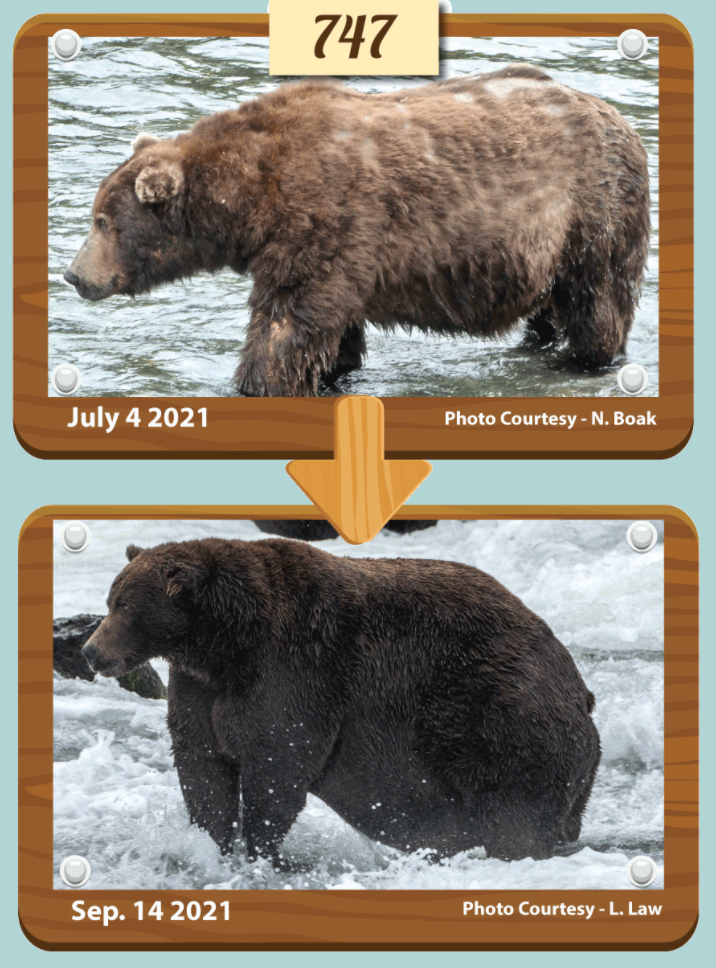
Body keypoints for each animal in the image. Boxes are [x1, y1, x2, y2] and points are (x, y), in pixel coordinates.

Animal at [63, 64, 650, 397]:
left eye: (101, 221)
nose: (73, 275)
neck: (250, 196)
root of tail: (620, 118)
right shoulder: (336, 249)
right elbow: (334, 331)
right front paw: (333, 374)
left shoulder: (323, 219)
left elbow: (285, 326)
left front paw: (258, 383)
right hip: (547, 246)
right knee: (550, 303)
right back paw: (534, 345)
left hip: (593, 211)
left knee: (598, 300)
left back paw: (582, 362)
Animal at [81, 537, 601, 868]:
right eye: (110, 600)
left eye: (124, 605)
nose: (90, 650)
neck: (224, 643)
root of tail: (581, 690)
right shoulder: (199, 688)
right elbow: (202, 765)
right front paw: (210, 844)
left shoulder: (294, 670)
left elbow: (278, 761)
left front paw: (262, 850)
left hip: (497, 712)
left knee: (514, 810)